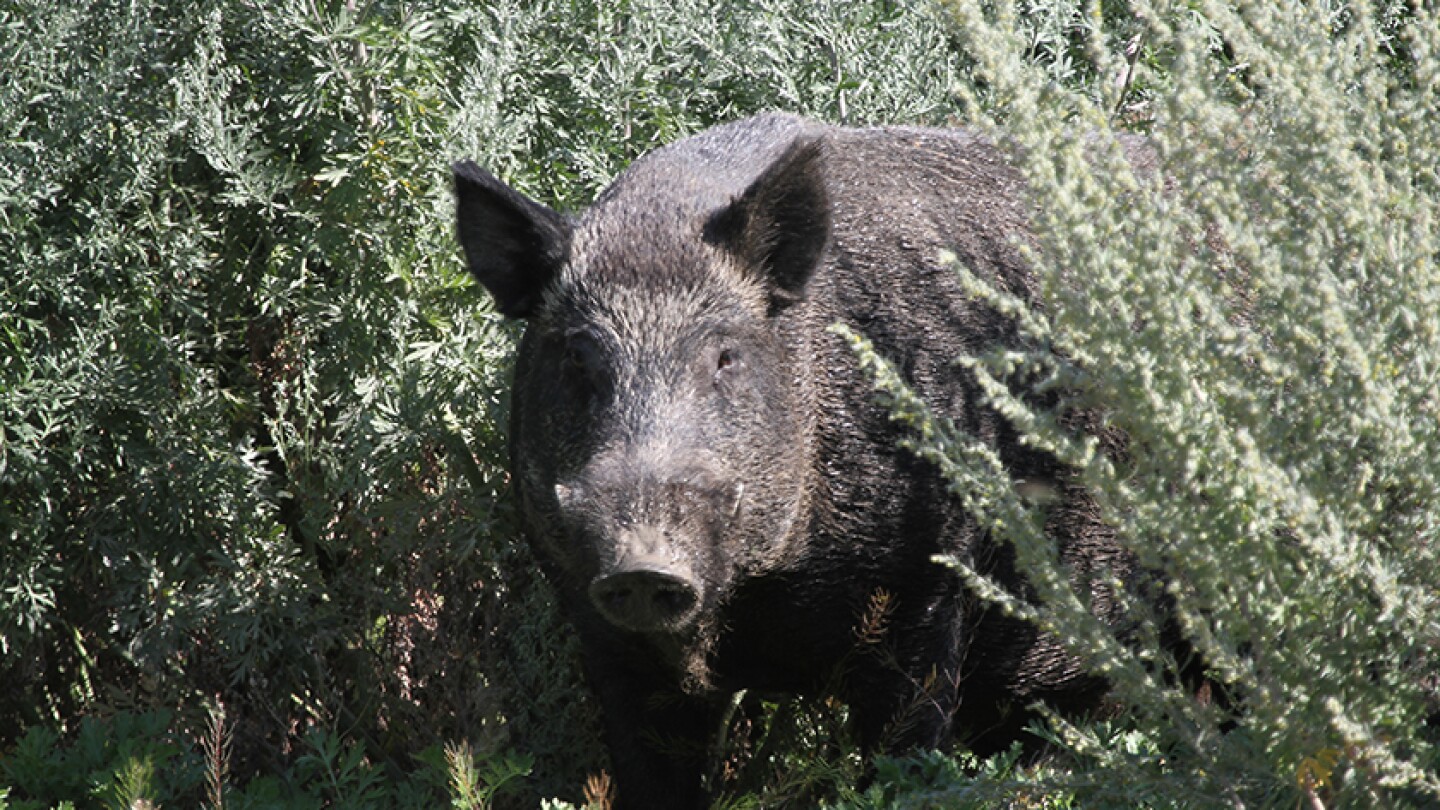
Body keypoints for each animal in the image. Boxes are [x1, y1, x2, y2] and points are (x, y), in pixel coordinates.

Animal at [452, 113, 1133, 808]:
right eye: (577, 358)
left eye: (725, 356)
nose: (645, 564)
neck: (756, 603)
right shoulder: (601, 627)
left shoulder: (931, 586)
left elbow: (906, 754)